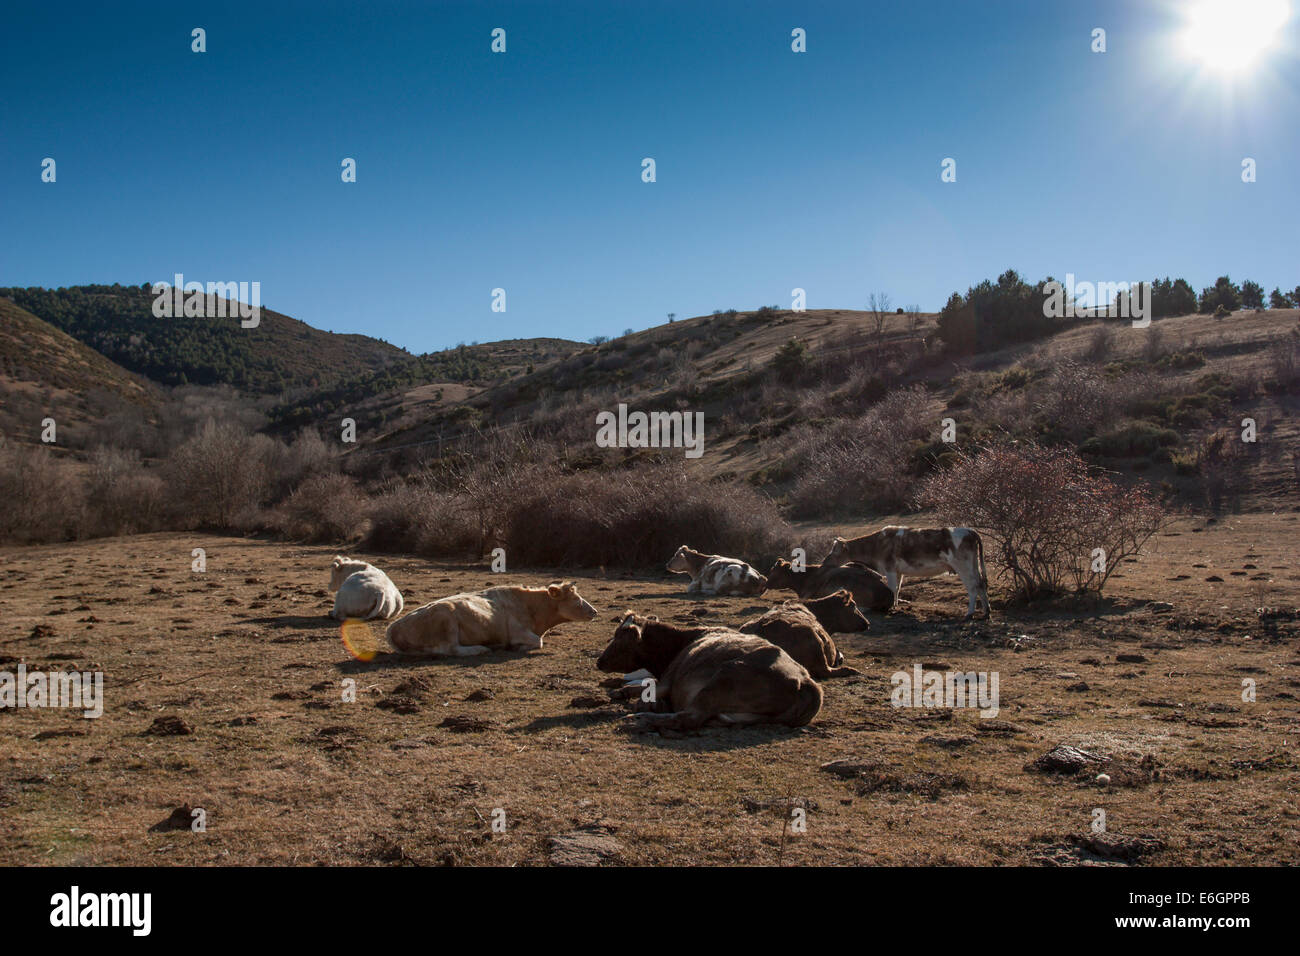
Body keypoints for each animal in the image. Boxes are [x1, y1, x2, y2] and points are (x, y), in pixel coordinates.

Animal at [385, 582, 597, 656]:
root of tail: (393, 628)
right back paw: (481, 648)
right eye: (576, 599)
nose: (594, 612)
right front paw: (516, 647)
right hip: (447, 620)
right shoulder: (519, 631)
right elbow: (538, 641)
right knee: (450, 649)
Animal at [597, 613, 822, 731]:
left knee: (690, 717)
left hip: (722, 679)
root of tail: (805, 680)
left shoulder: (669, 679)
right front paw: (621, 691)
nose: (599, 661)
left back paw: (640, 718)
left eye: (620, 640)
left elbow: (647, 691)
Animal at [822, 526, 989, 618]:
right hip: (974, 565)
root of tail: (970, 530)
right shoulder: (898, 571)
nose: (824, 562)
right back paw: (986, 612)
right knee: (981, 584)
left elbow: (892, 588)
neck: (876, 544)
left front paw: (891, 607)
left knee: (973, 587)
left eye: (835, 551)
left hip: (963, 566)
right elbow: (897, 589)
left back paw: (970, 613)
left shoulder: (889, 569)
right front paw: (895, 604)